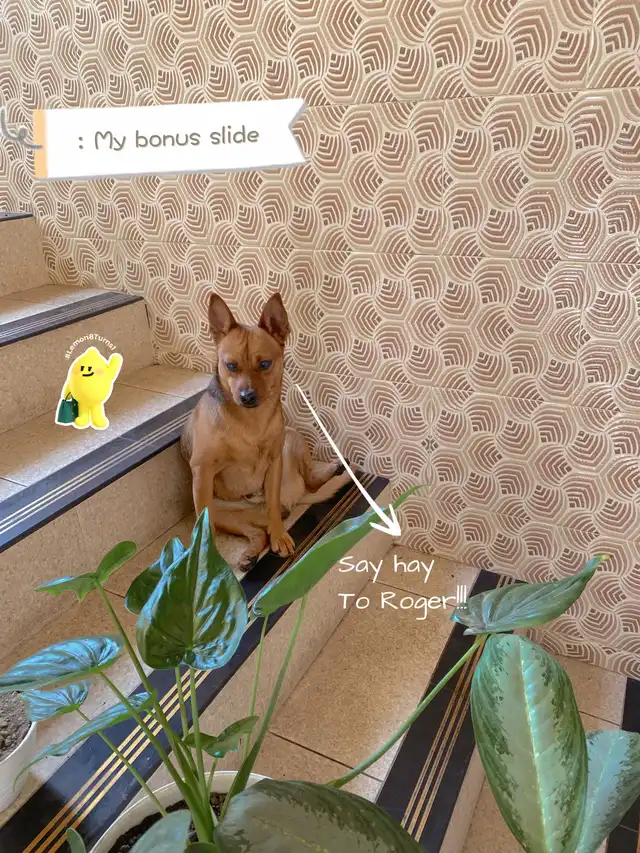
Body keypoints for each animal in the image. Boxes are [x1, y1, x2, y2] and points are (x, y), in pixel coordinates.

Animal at [180, 291, 347, 572]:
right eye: (231, 366)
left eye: (265, 364)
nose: (247, 396)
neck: (251, 419)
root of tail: (294, 500)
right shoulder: (202, 473)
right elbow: (206, 530)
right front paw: (205, 561)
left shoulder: (274, 461)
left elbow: (272, 509)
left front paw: (280, 537)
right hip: (221, 509)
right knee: (256, 531)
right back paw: (249, 555)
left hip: (292, 438)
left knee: (307, 486)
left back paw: (333, 469)